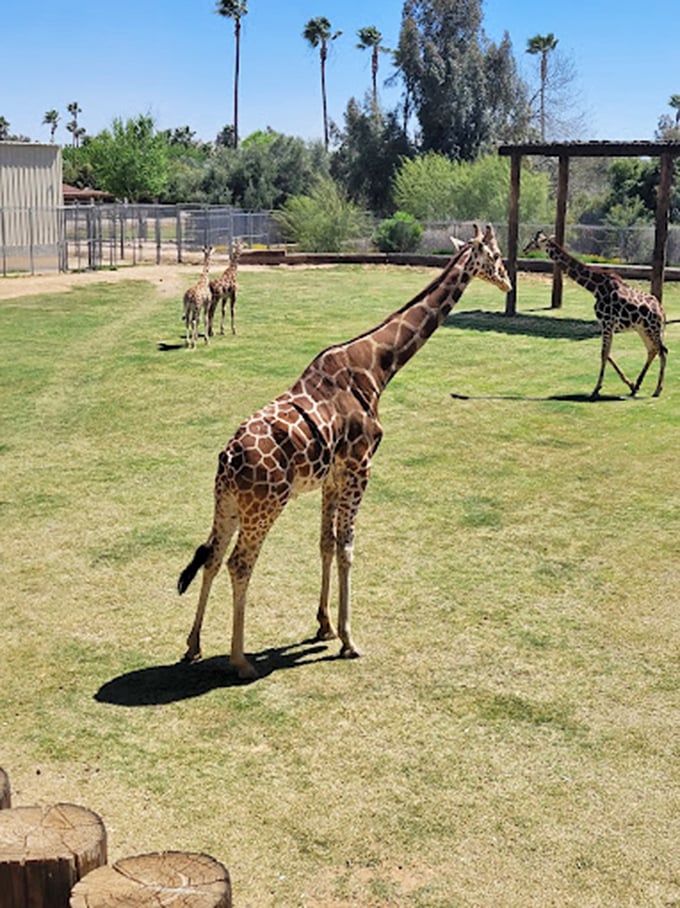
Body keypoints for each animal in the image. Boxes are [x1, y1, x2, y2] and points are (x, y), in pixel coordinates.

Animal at [177, 225, 512, 680]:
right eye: (495, 255)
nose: (508, 283)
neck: (379, 367)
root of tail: (228, 458)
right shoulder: (360, 467)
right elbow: (349, 549)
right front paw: (350, 640)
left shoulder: (333, 476)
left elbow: (326, 543)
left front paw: (325, 625)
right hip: (265, 505)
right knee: (239, 563)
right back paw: (239, 660)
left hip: (226, 501)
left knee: (211, 556)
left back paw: (193, 645)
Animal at [524, 231, 668, 399]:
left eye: (534, 241)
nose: (525, 249)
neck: (595, 288)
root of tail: (662, 312)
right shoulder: (608, 325)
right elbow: (608, 353)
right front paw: (630, 385)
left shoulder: (606, 322)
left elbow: (604, 353)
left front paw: (596, 389)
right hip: (643, 329)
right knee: (652, 350)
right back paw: (637, 386)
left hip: (652, 329)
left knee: (662, 351)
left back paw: (657, 390)